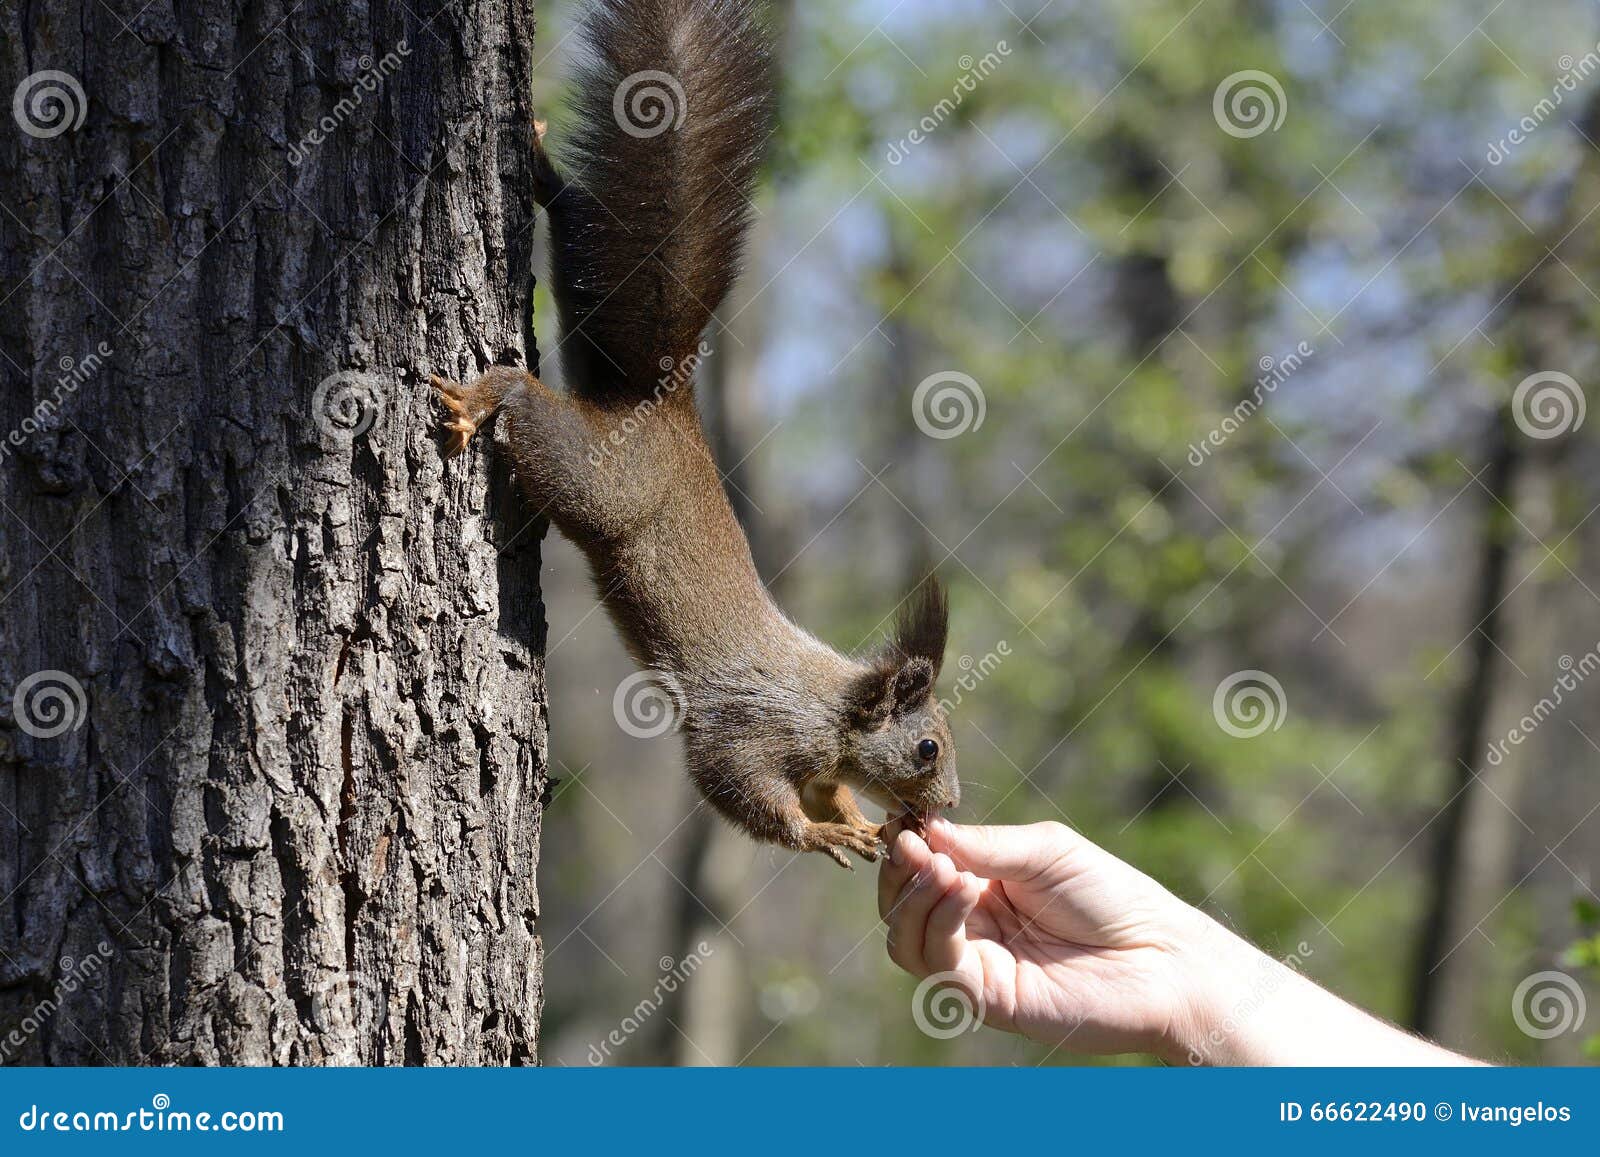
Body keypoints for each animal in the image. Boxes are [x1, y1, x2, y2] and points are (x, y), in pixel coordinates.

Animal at [430, 0, 958, 868]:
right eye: (928, 747)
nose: (950, 805)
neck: (835, 709)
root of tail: (664, 405)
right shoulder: (752, 726)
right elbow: (731, 778)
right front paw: (815, 831)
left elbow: (822, 786)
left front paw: (848, 813)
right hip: (599, 479)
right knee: (532, 413)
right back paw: (487, 393)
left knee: (570, 212)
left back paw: (540, 164)